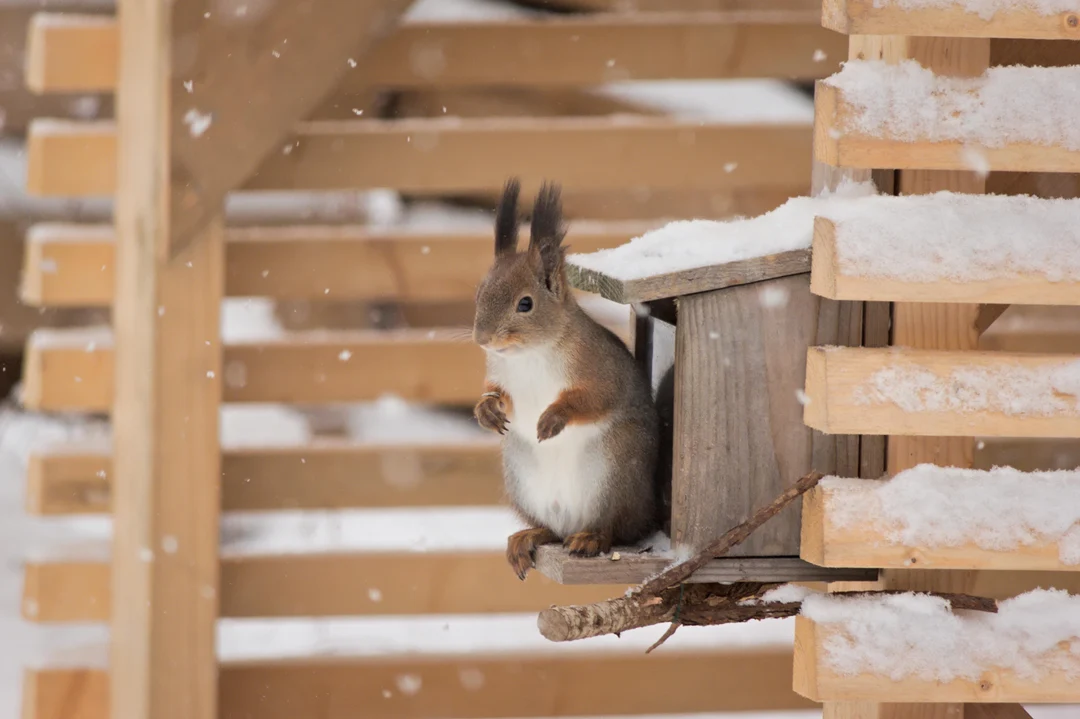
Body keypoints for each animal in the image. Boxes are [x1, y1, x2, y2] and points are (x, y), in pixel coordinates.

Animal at [472, 178, 662, 580]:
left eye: (525, 303)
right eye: (479, 293)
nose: (483, 339)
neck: (529, 354)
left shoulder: (599, 369)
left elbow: (594, 399)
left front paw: (553, 418)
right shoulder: (500, 373)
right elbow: (496, 393)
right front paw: (487, 411)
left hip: (614, 474)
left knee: (616, 529)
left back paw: (592, 537)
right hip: (522, 478)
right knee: (552, 532)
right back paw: (530, 535)